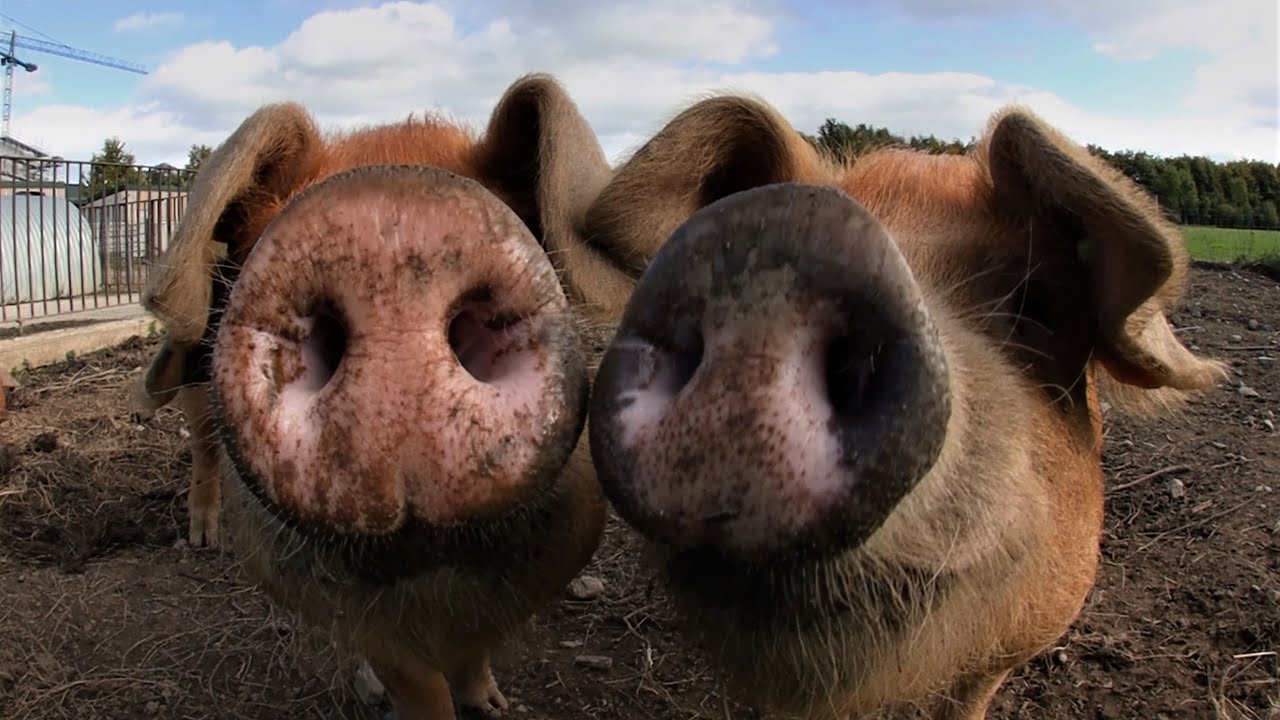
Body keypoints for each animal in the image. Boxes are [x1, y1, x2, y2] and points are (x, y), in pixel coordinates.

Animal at [134, 74, 635, 719]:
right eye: (255, 232)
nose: (388, 218)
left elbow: (479, 647)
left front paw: (494, 704)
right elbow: (419, 688)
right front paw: (401, 697)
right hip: (192, 365)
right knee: (201, 444)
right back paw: (204, 539)